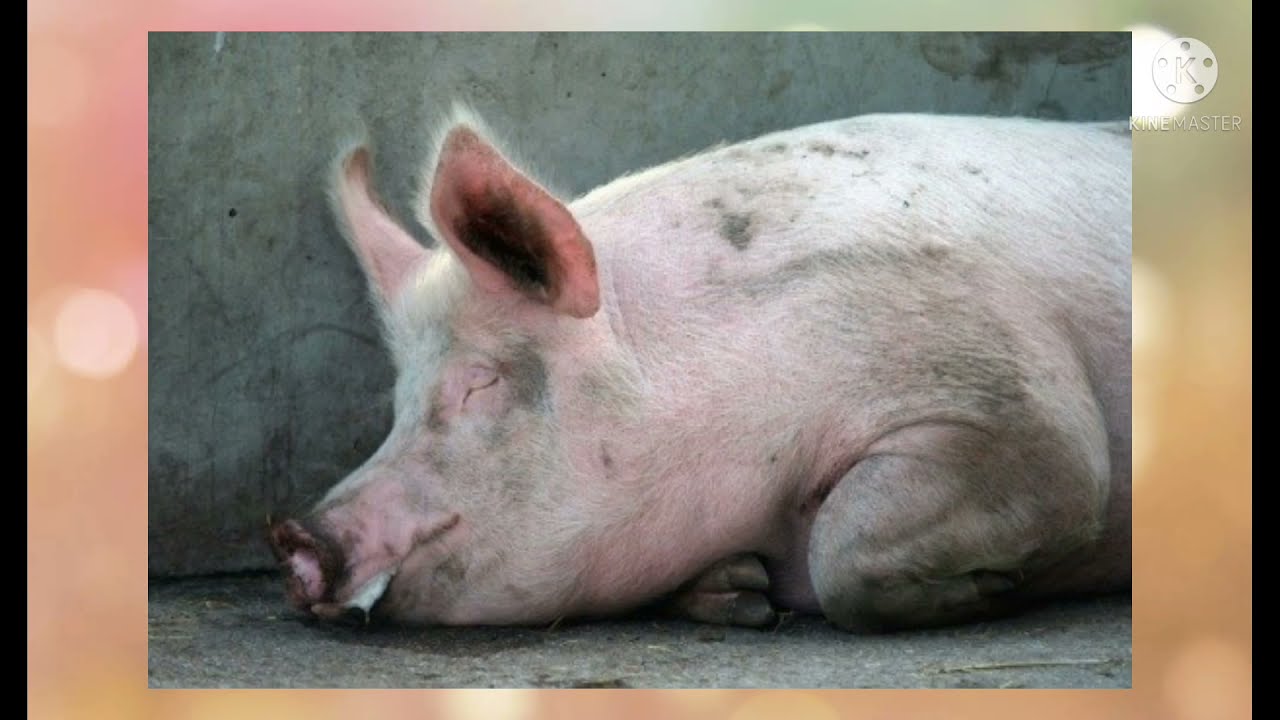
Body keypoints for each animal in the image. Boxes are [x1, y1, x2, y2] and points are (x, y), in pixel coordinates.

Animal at [268, 105, 1131, 633]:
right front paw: (740, 593)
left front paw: (997, 592)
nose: (296, 535)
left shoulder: (1018, 405)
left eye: (479, 381)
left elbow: (843, 546)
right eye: (399, 401)